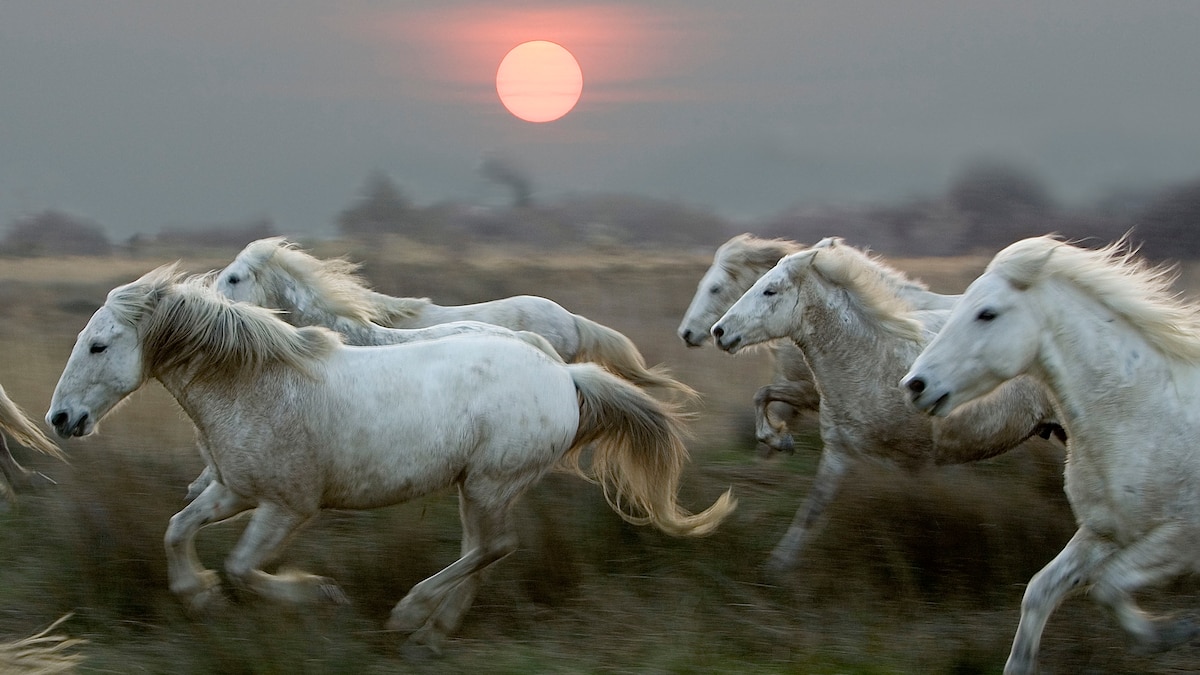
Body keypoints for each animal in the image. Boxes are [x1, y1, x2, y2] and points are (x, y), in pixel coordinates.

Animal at [45, 264, 735, 650]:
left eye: (100, 345)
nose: (61, 419)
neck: (258, 384)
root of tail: (564, 375)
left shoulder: (287, 506)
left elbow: (242, 569)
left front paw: (319, 595)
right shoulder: (233, 490)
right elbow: (176, 530)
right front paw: (197, 595)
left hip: (489, 482)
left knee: (493, 547)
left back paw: (409, 615)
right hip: (477, 486)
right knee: (486, 551)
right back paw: (433, 632)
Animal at [678, 234, 958, 452]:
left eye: (714, 288)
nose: (688, 333)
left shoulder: (809, 391)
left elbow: (765, 397)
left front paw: (777, 441)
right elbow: (764, 396)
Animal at [710, 237, 1060, 574]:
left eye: (770, 290)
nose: (719, 331)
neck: (871, 361)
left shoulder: (922, 460)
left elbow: (929, 516)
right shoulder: (839, 451)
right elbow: (812, 508)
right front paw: (777, 567)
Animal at [902, 236, 1200, 674]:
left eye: (987, 314)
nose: (914, 385)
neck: (1145, 415)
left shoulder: (1181, 537)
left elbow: (1107, 587)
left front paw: (1172, 632)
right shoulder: (1102, 532)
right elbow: (1040, 590)